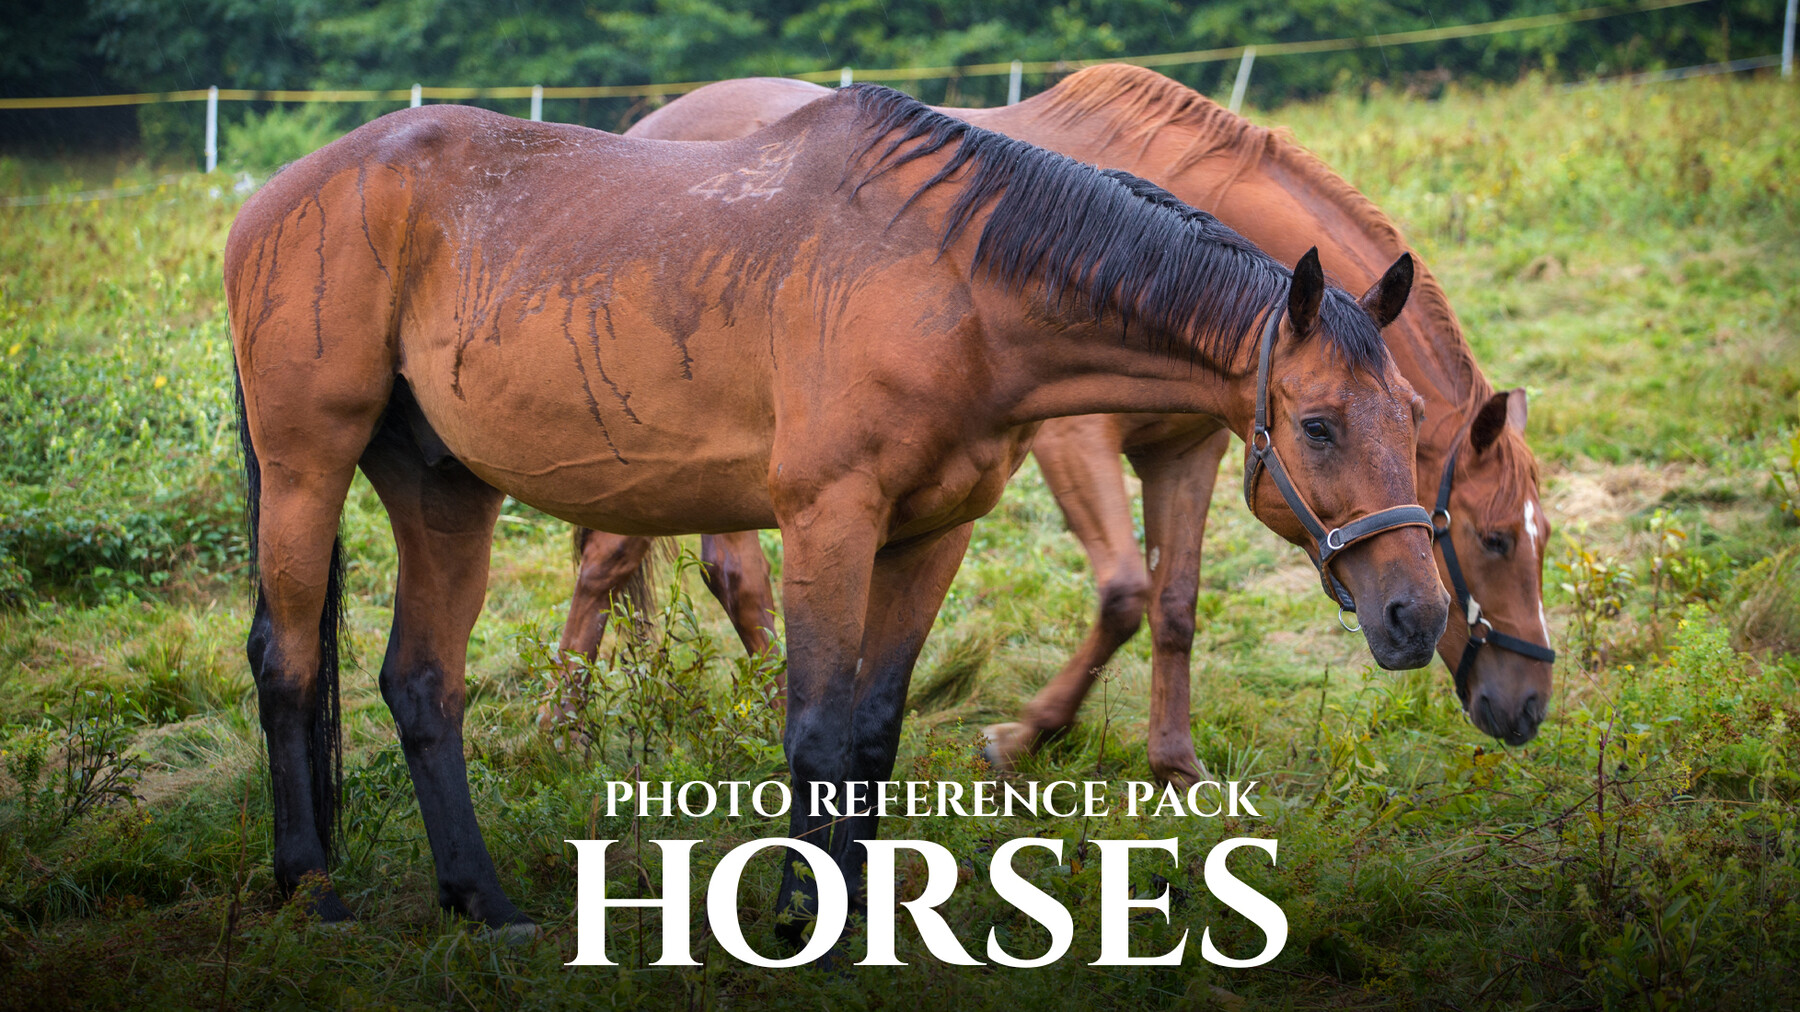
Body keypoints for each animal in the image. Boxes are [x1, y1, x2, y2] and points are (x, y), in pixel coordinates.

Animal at [225, 82, 1445, 934]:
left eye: (1415, 416)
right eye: (1319, 425)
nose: (1417, 617)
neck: (950, 283)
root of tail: (275, 197)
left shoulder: (929, 534)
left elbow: (870, 729)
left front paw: (863, 912)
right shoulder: (828, 521)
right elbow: (811, 725)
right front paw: (803, 913)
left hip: (444, 491)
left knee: (423, 684)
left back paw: (485, 902)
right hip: (306, 466)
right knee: (288, 660)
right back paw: (313, 888)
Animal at [559, 65, 1554, 786]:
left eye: (1409, 423)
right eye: (1494, 539)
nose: (1531, 705)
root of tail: (645, 130)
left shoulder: (1190, 451)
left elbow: (1174, 606)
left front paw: (1176, 765)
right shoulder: (1077, 444)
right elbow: (1121, 594)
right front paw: (1021, 736)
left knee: (727, 570)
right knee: (611, 561)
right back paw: (561, 728)